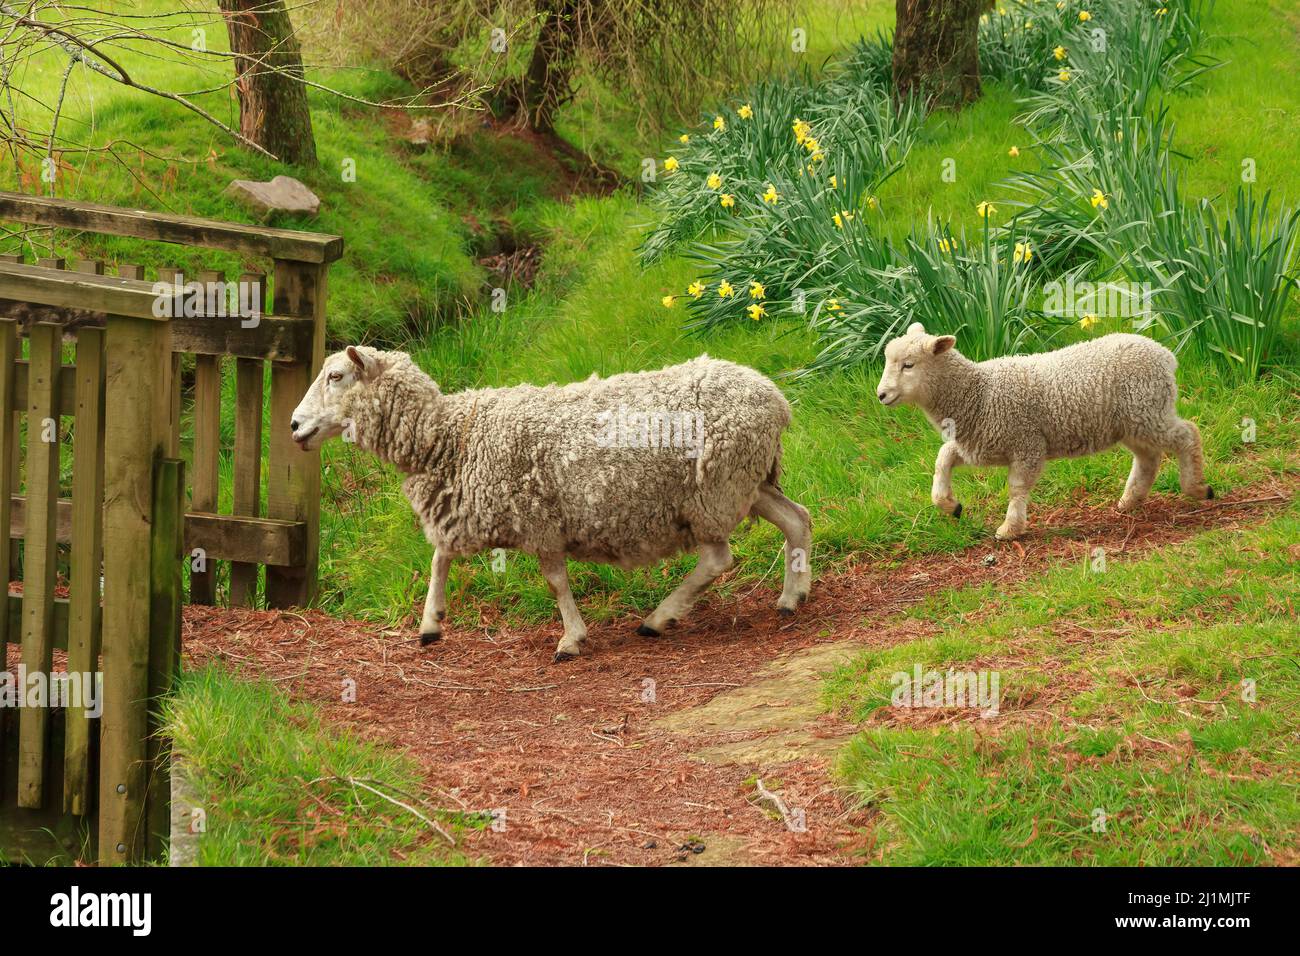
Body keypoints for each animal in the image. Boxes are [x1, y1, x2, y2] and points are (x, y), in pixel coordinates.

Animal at [290, 348, 812, 661]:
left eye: (336, 376)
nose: (295, 426)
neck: (450, 437)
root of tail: (775, 399)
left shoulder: (538, 521)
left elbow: (556, 582)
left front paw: (571, 639)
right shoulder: (469, 509)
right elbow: (439, 559)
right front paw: (430, 624)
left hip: (714, 491)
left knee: (718, 558)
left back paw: (660, 617)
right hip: (747, 481)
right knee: (797, 520)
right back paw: (792, 597)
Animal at [876, 323, 1212, 540]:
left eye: (908, 365)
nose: (881, 395)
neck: (977, 392)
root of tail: (1165, 354)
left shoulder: (1027, 443)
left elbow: (1017, 488)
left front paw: (1010, 529)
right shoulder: (981, 443)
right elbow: (943, 458)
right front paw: (949, 505)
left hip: (1148, 409)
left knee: (1187, 435)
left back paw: (1197, 487)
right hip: (1132, 421)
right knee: (1148, 458)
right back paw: (1130, 500)